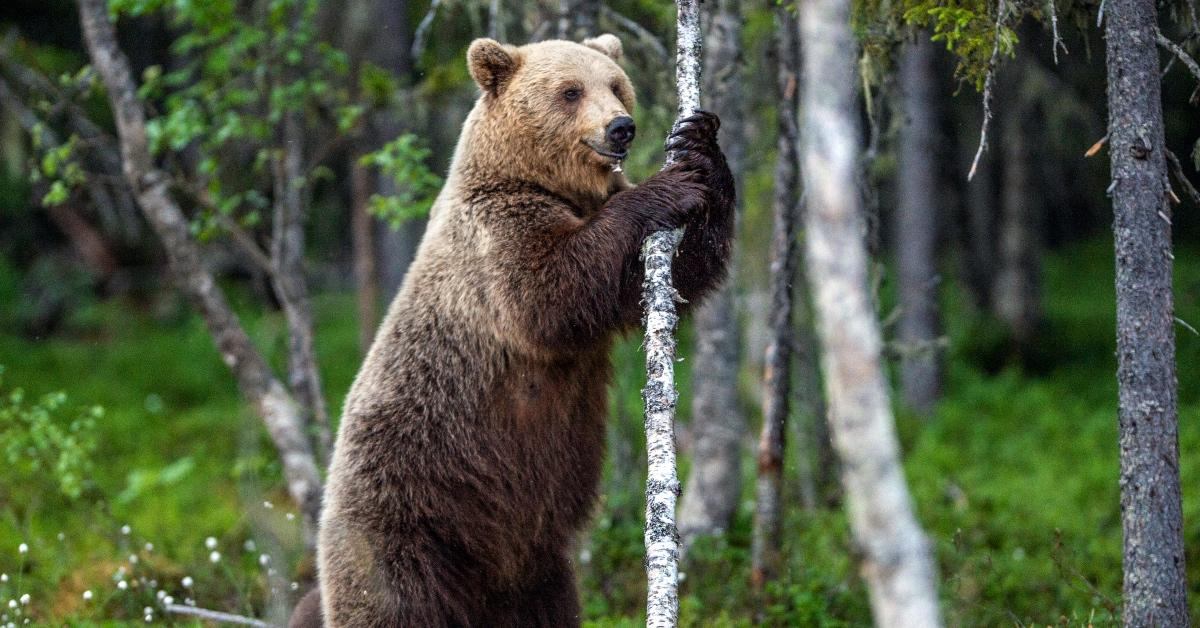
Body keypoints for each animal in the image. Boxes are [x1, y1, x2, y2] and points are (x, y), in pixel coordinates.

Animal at [297, 33, 735, 628]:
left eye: (615, 85)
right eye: (570, 91)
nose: (621, 127)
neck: (541, 180)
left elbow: (671, 278)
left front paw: (701, 148)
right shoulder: (496, 238)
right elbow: (551, 293)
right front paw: (662, 189)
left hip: (534, 564)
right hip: (408, 517)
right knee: (393, 601)